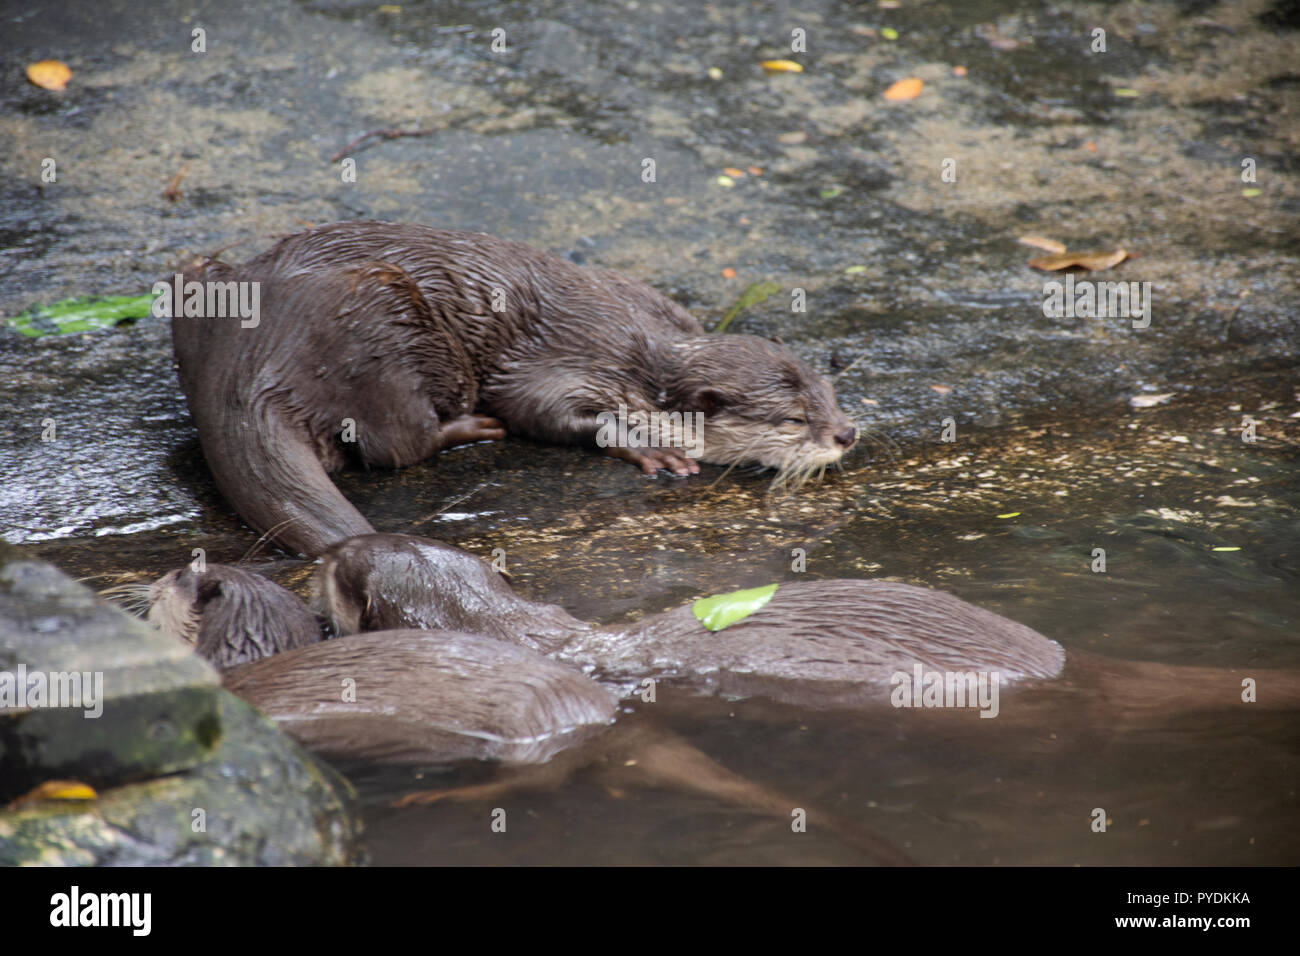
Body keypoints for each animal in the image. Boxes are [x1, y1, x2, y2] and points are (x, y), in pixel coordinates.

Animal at [171, 222, 857, 556]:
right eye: (795, 420)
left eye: (829, 393)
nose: (847, 434)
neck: (647, 354)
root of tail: (251, 361)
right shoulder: (569, 366)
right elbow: (543, 411)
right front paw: (650, 449)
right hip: (386, 320)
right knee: (399, 443)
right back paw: (472, 429)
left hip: (198, 281)